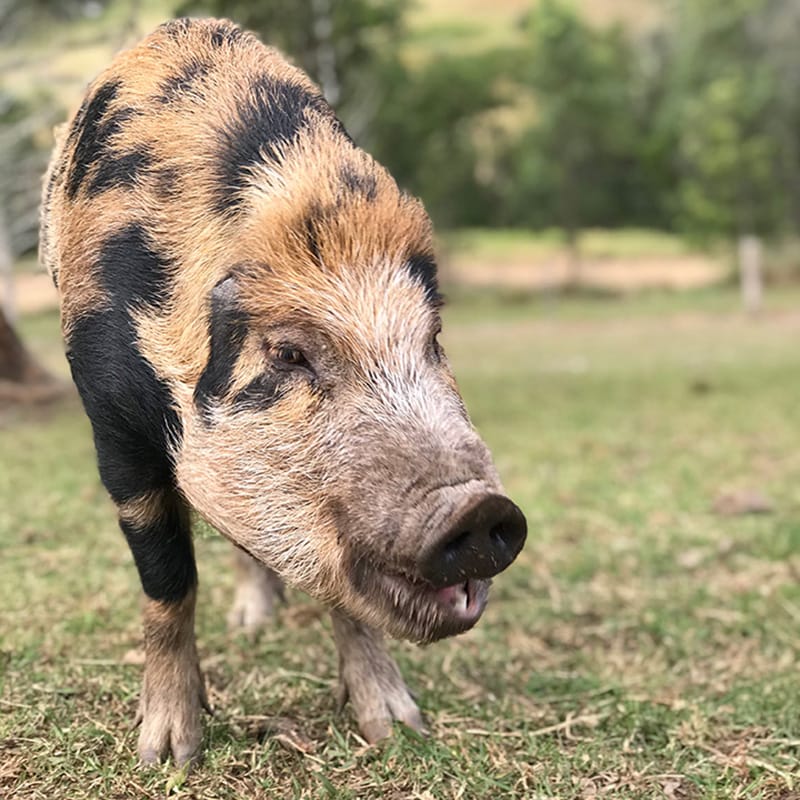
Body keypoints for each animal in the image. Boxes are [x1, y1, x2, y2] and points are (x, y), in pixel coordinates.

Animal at [40, 17, 527, 765]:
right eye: (289, 353)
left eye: (433, 338)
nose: (477, 507)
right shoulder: (113, 424)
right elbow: (167, 580)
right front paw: (168, 755)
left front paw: (398, 731)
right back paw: (246, 631)